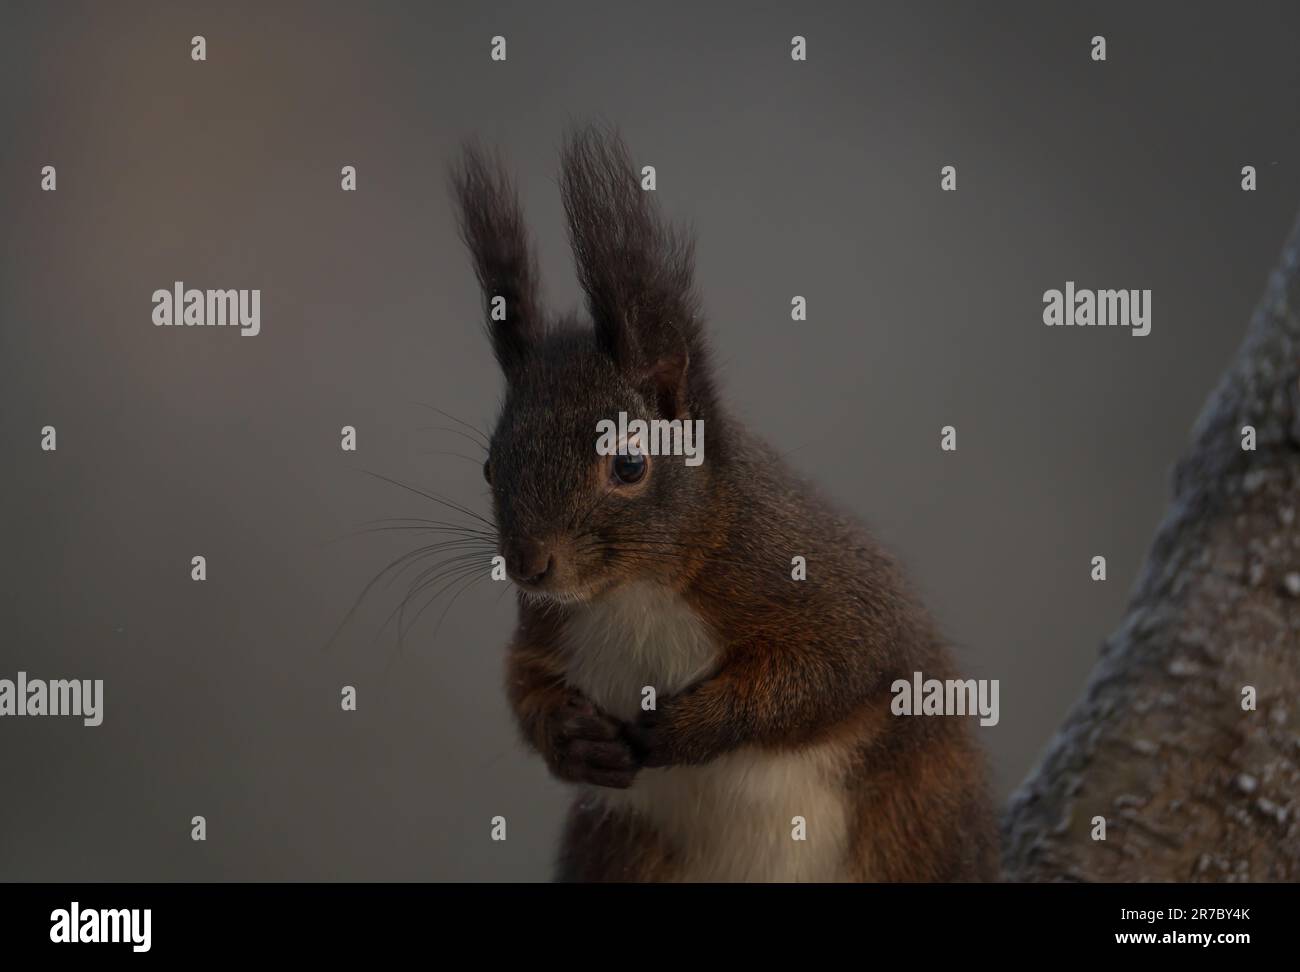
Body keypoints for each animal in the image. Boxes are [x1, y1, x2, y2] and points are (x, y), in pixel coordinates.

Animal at [449, 124, 999, 882]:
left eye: (629, 464)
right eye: (487, 466)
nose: (529, 565)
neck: (634, 592)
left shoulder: (818, 585)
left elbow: (830, 671)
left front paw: (692, 727)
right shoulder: (549, 624)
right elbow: (523, 683)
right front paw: (571, 738)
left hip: (914, 822)